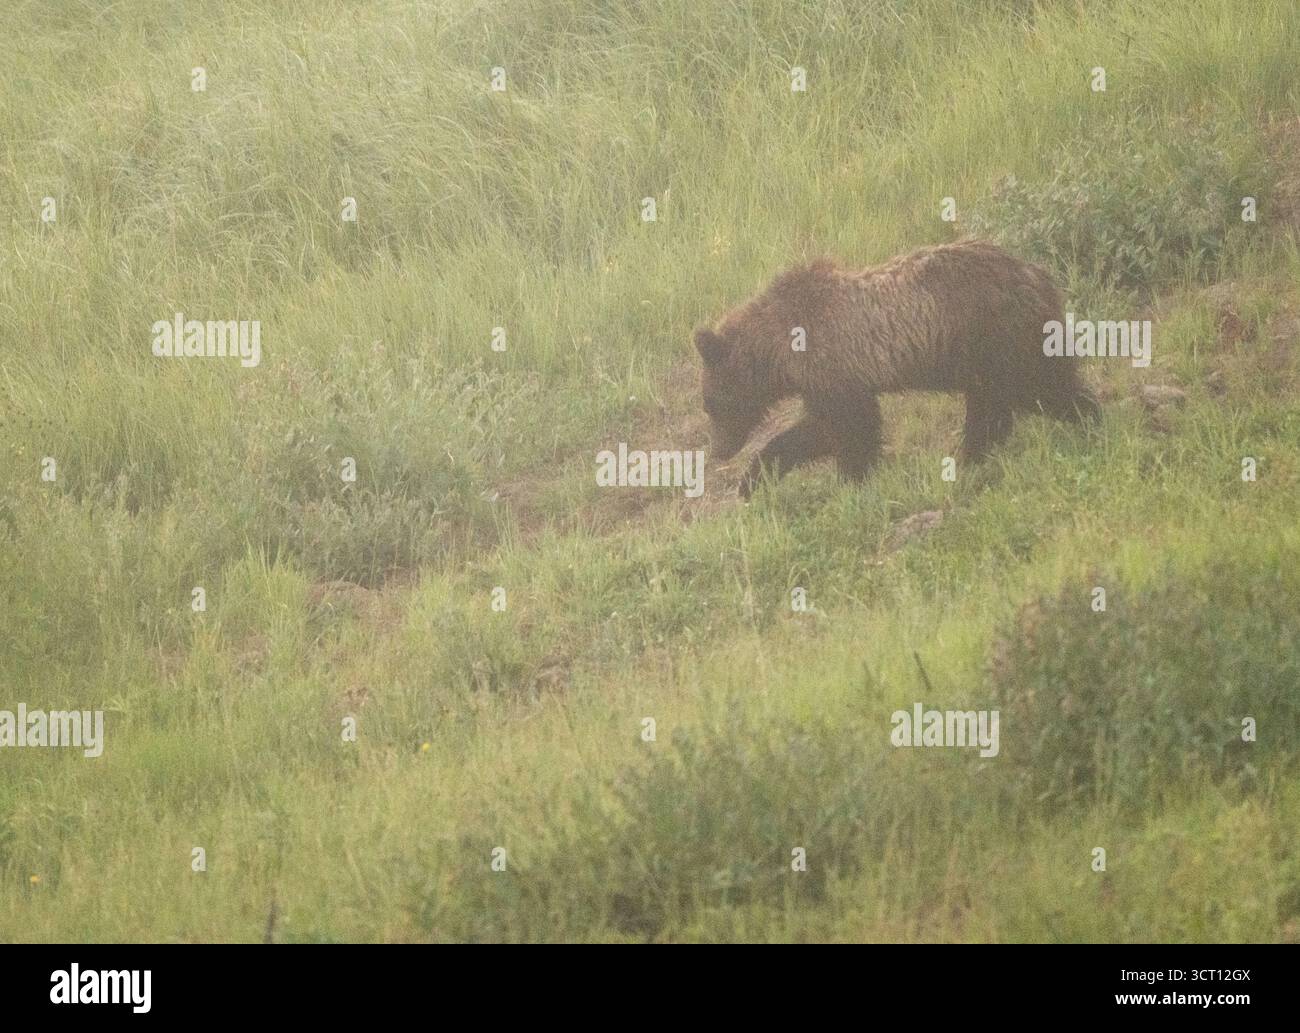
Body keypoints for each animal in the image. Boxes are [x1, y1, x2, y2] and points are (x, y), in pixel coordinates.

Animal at [694, 239, 1098, 496]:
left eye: (710, 404)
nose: (718, 451)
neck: (779, 350)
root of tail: (1036, 273)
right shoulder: (824, 379)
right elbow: (816, 430)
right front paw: (753, 481)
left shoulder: (834, 368)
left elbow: (852, 427)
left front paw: (851, 480)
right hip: (982, 359)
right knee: (993, 405)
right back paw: (970, 457)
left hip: (996, 338)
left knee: (1040, 387)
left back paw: (1090, 419)